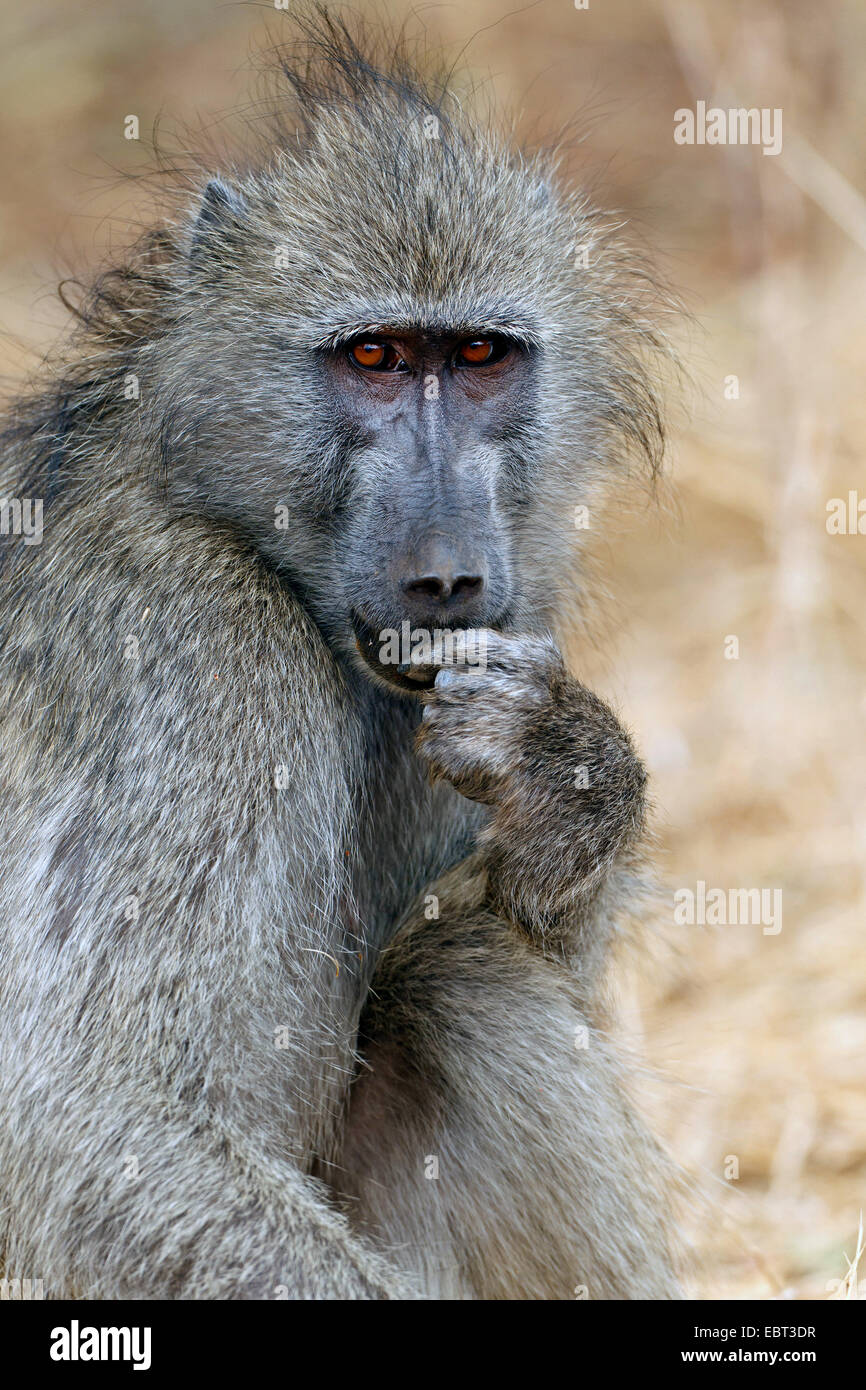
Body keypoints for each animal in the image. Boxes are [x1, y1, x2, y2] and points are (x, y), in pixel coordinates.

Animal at [0, 9, 680, 1299]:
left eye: (479, 357)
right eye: (371, 359)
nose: (446, 574)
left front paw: (565, 767)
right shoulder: (196, 650)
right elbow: (97, 1123)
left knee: (464, 981)